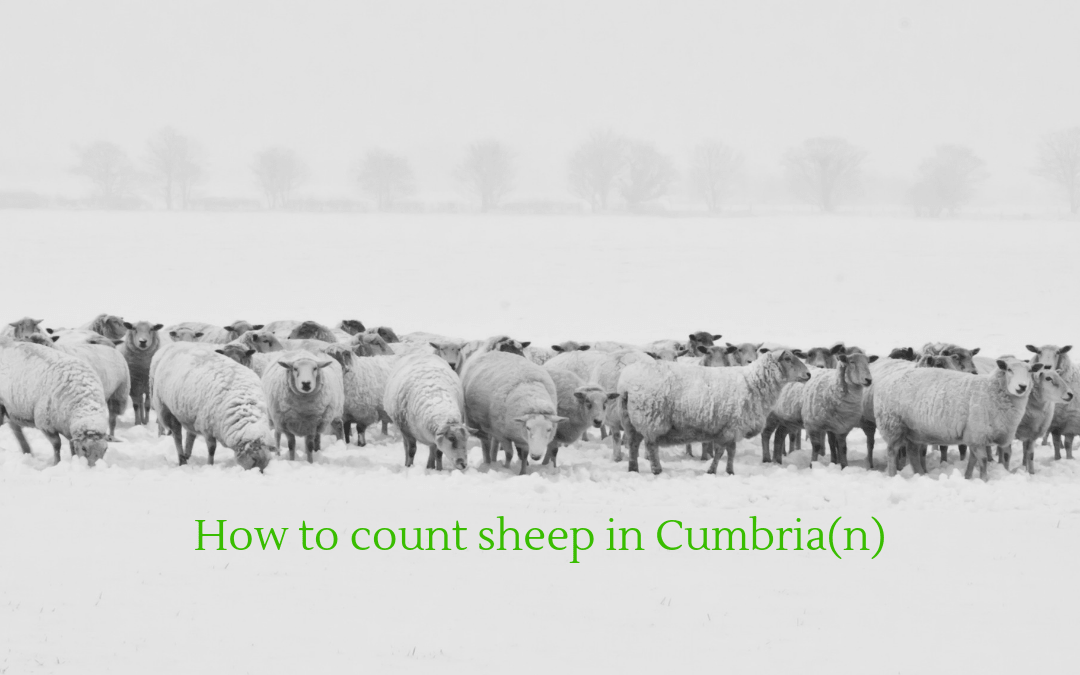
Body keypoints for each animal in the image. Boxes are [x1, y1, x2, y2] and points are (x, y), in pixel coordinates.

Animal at [617, 349, 811, 475]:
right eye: (788, 358)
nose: (809, 374)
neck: (753, 383)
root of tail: (626, 383)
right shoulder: (732, 427)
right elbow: (723, 452)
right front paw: (717, 470)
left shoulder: (727, 428)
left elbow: (727, 451)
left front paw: (726, 470)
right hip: (651, 418)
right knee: (650, 446)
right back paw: (656, 470)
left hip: (629, 421)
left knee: (633, 445)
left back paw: (633, 469)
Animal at [873, 359, 1038, 480]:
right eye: (1009, 370)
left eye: (1030, 371)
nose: (1022, 387)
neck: (991, 391)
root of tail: (886, 378)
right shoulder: (977, 434)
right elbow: (983, 460)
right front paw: (984, 480)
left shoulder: (974, 436)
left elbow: (973, 460)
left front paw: (968, 477)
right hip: (893, 425)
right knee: (892, 452)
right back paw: (893, 475)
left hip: (914, 431)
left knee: (912, 453)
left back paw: (921, 475)